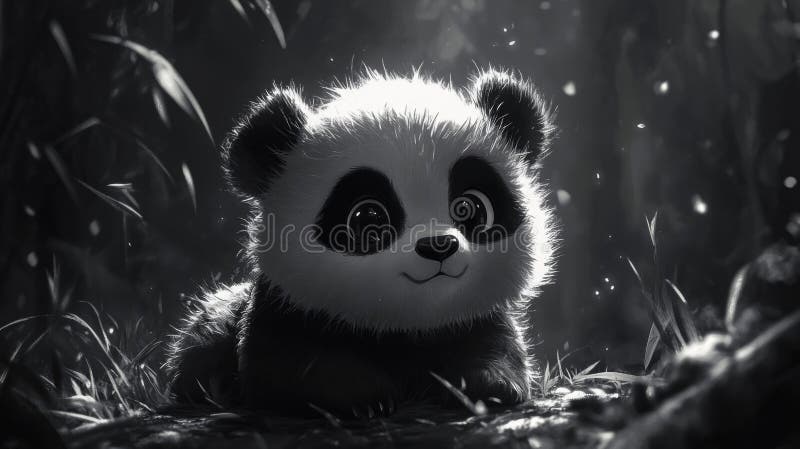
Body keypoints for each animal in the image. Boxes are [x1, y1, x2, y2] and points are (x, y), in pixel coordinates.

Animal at [164, 67, 557, 417]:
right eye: (368, 217)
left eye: (469, 207)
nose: (437, 246)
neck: (404, 324)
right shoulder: (286, 309)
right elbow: (288, 366)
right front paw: (365, 397)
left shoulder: (471, 318)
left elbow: (495, 349)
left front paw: (486, 385)